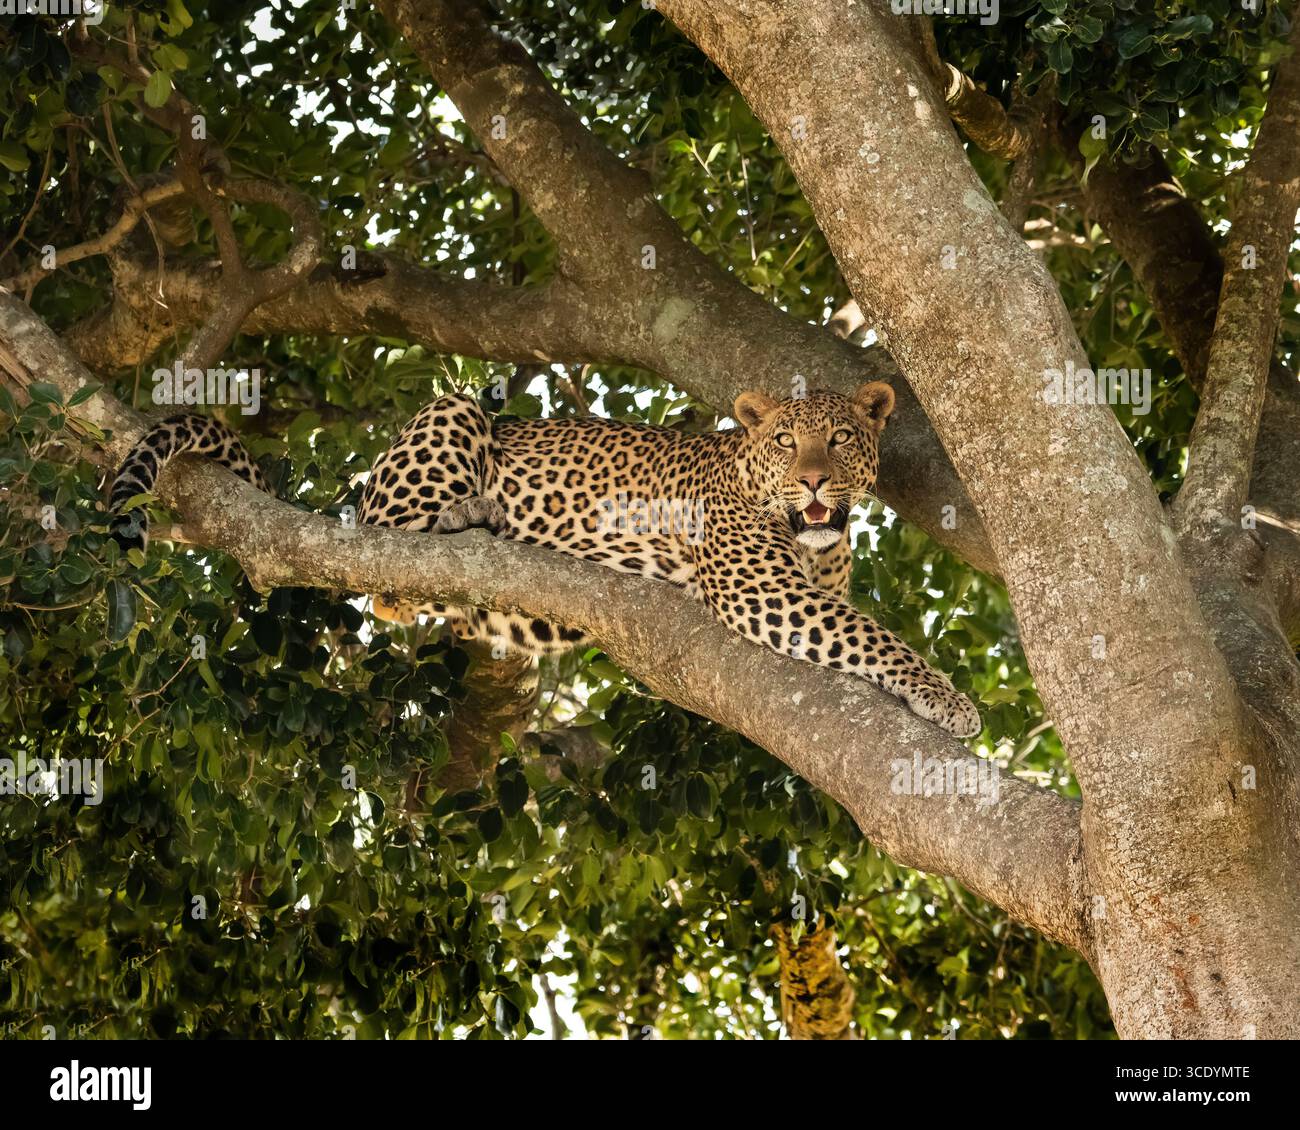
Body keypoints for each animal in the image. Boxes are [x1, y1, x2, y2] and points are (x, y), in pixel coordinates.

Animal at [110, 383, 981, 737]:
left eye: (841, 438)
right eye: (784, 443)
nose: (815, 479)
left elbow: (860, 626)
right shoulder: (758, 587)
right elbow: (877, 636)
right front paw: (951, 702)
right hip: (451, 416)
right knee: (383, 546)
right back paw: (469, 518)